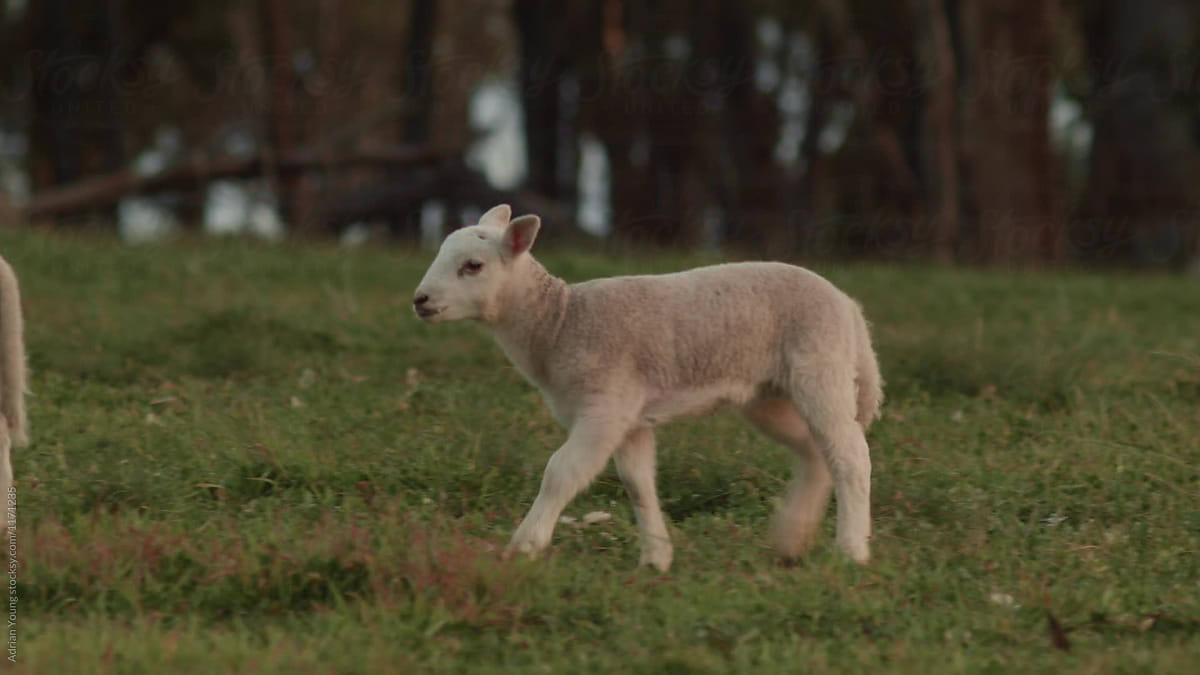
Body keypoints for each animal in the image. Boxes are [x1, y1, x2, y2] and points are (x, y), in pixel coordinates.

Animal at [413, 205, 883, 571]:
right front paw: (656, 559)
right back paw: (791, 539)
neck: (558, 322)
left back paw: (851, 551)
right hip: (769, 396)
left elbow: (562, 471)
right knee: (815, 452)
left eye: (473, 266)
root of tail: (850, 308)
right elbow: (638, 483)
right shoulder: (629, 416)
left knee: (850, 456)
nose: (420, 300)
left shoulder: (605, 406)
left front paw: (525, 546)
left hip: (821, 370)